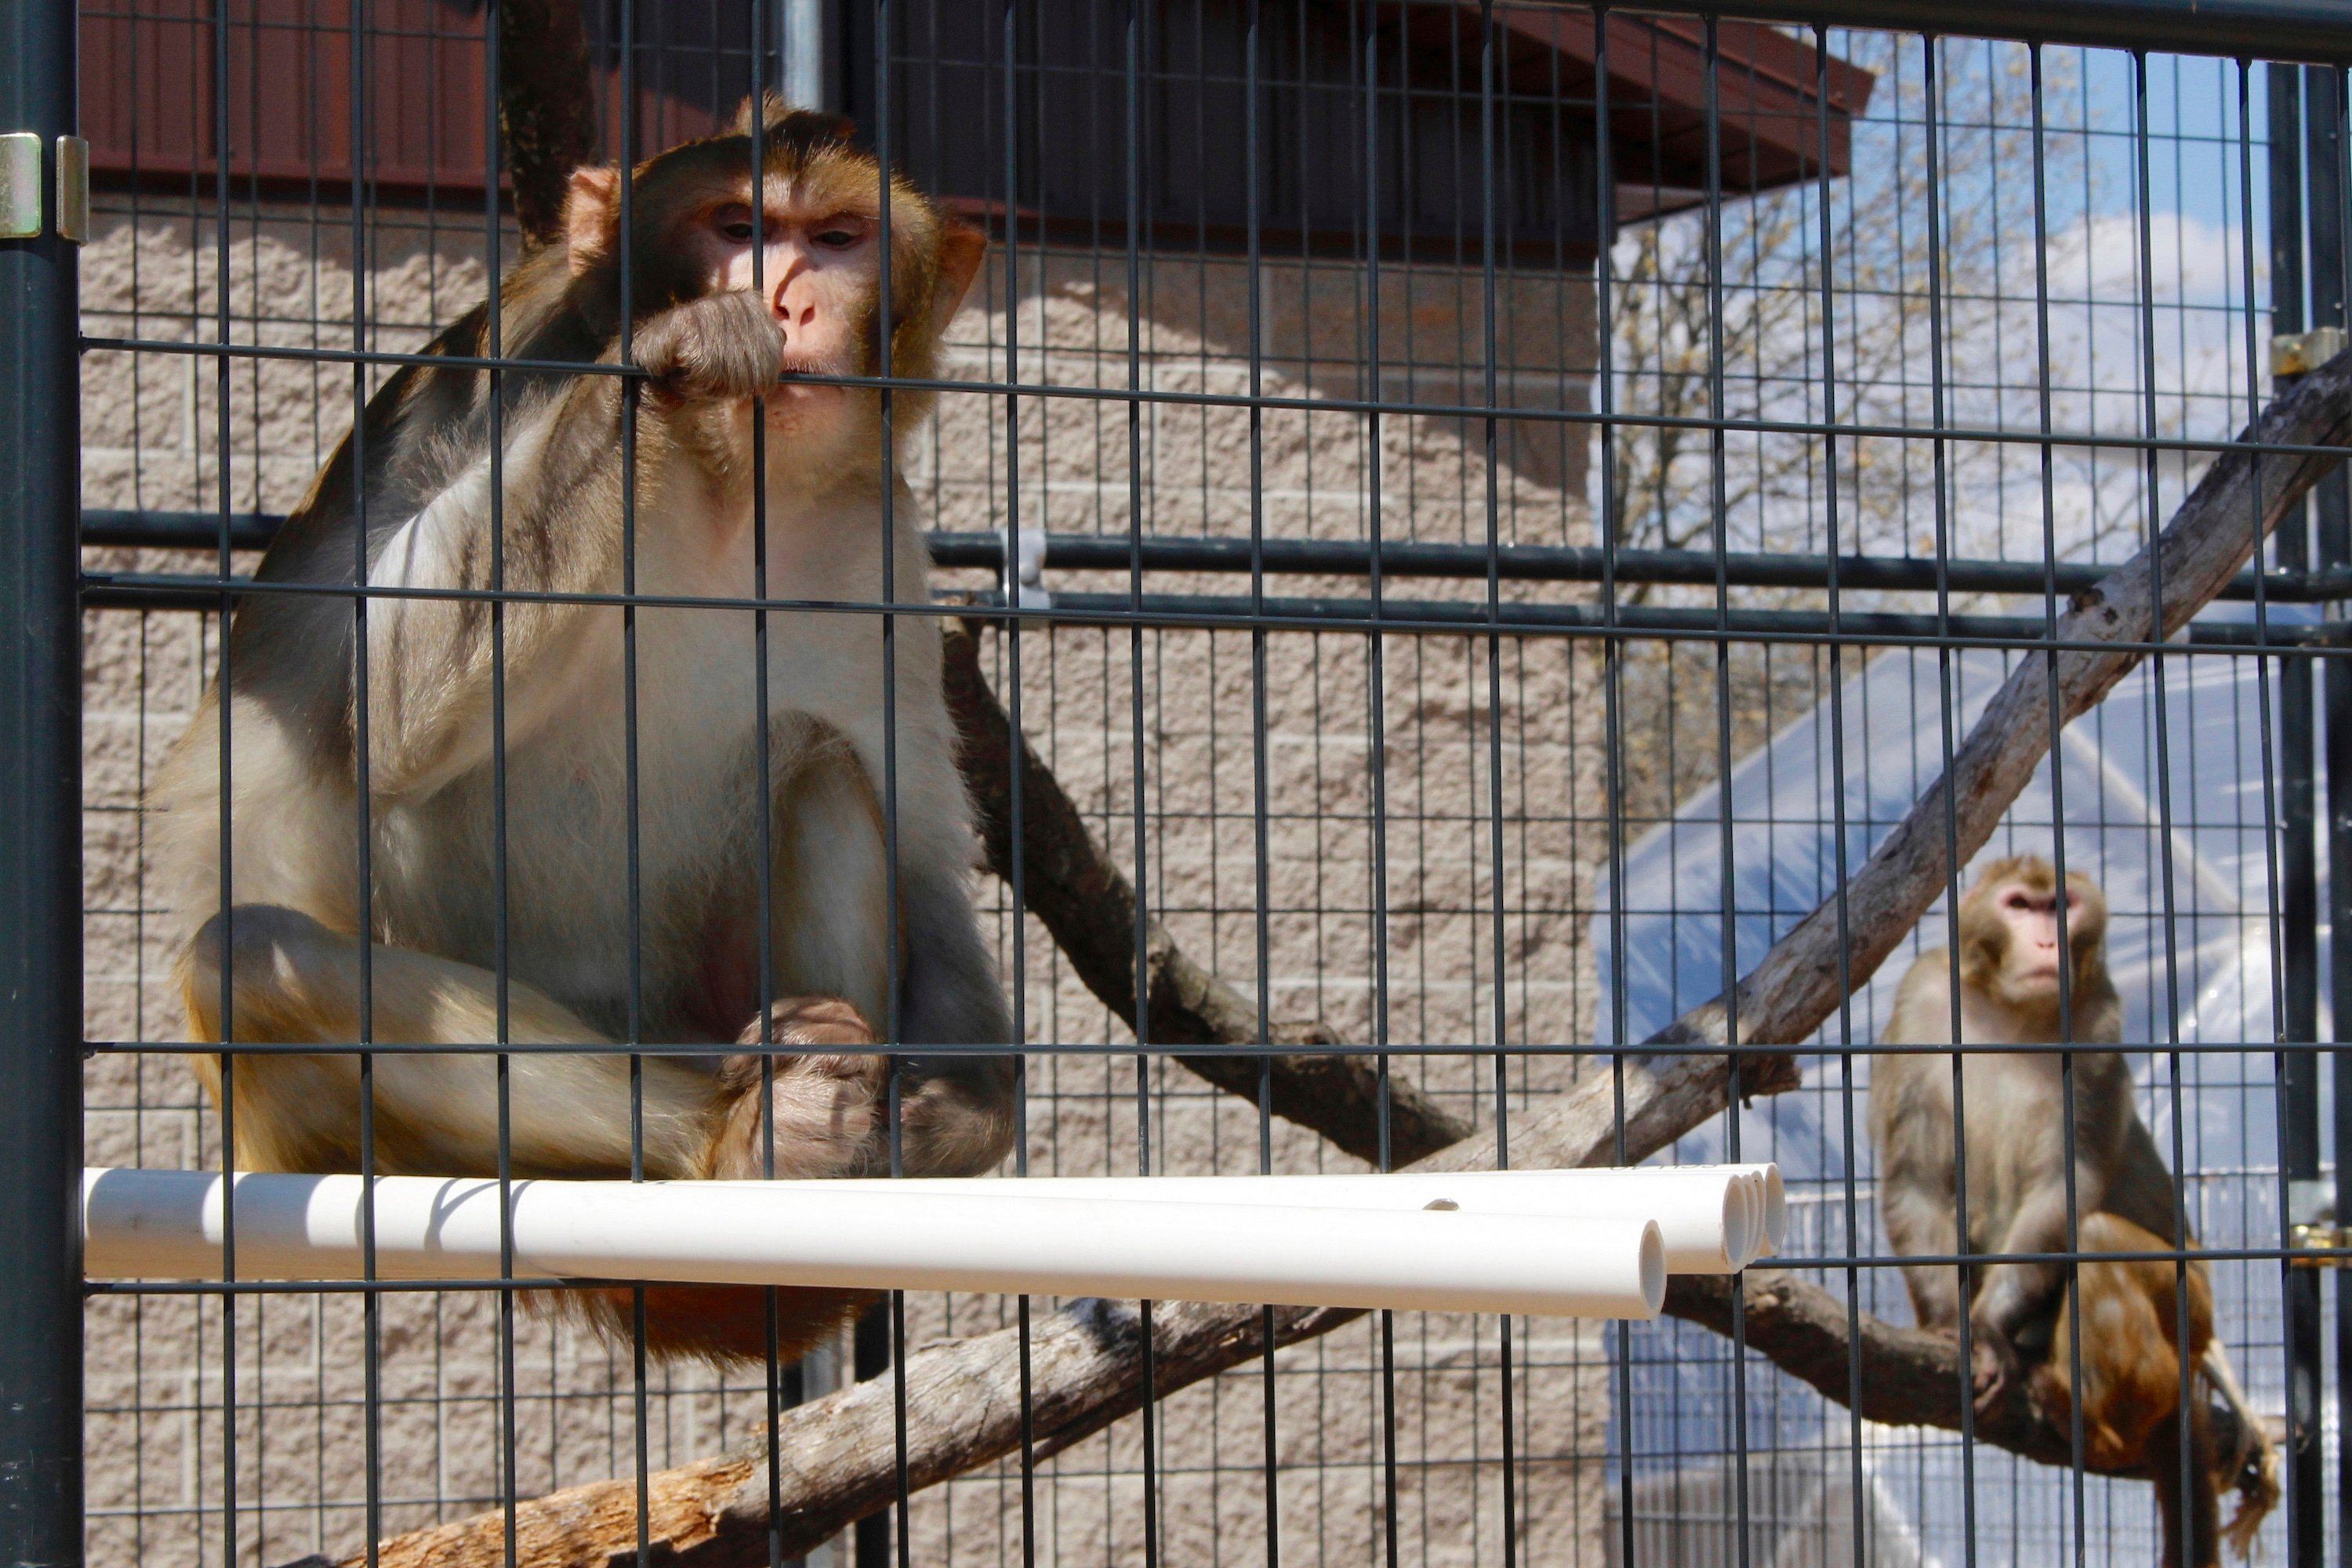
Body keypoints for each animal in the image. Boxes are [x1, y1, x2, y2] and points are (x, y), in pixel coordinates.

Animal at [144, 97, 1014, 1366]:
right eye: (738, 225)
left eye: (839, 238)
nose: (789, 301)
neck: (729, 487)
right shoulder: (500, 370)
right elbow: (381, 708)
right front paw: (677, 357)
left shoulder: (878, 541)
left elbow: (921, 842)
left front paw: (960, 1112)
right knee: (253, 960)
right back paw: (737, 1146)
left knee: (821, 770)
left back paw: (817, 1145)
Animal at [1872, 855, 2278, 1565]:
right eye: (2020, 905)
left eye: (2060, 906)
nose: (2046, 942)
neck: (2011, 1011)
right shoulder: (1921, 1003)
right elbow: (1917, 1180)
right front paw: (1953, 1324)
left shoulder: (2097, 1022)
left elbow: (2066, 1188)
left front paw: (1988, 1331)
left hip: (2191, 1313)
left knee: (2096, 1239)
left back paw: (2091, 1413)